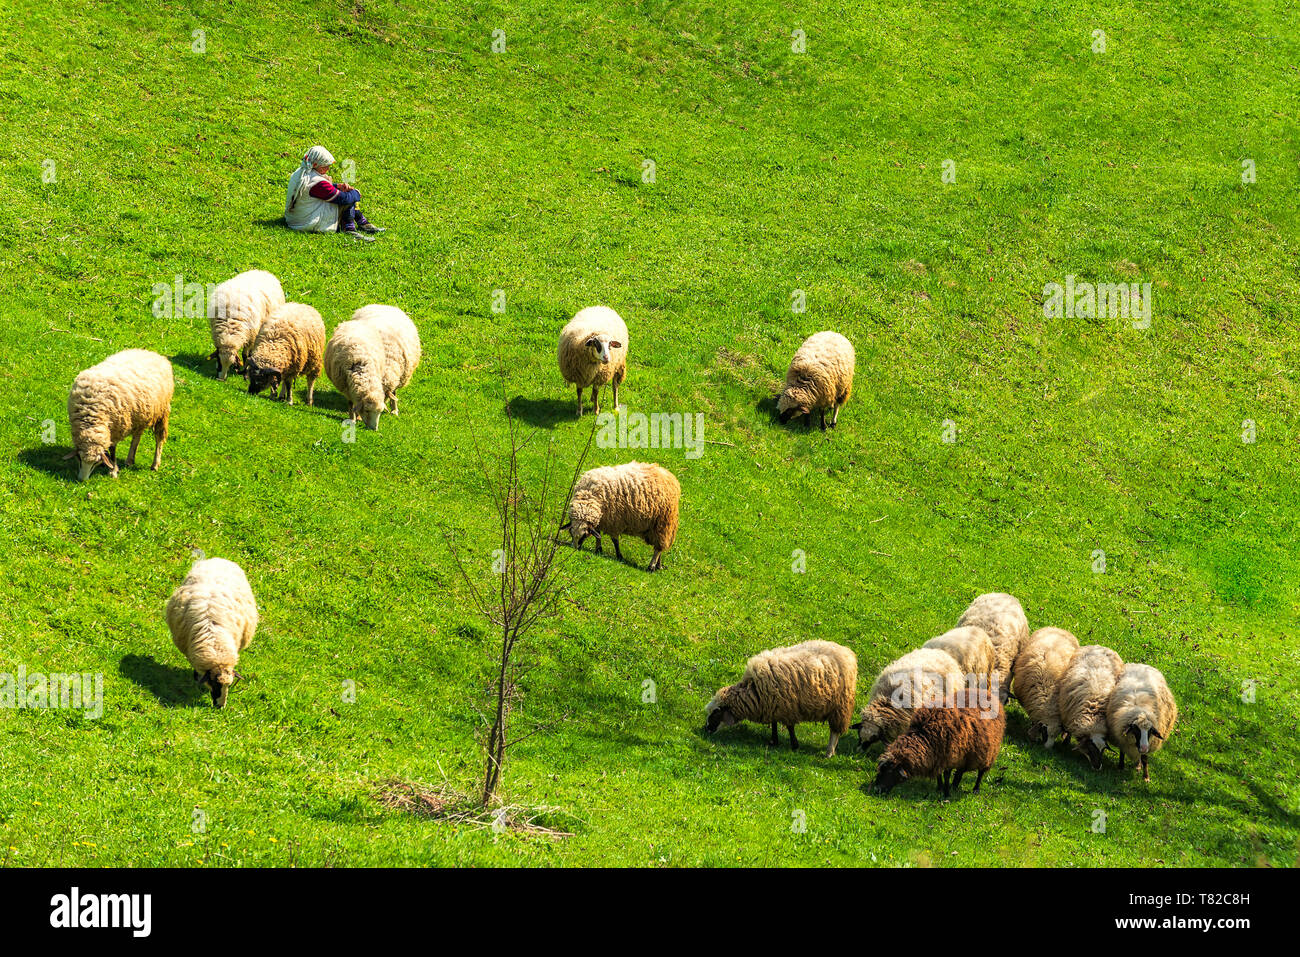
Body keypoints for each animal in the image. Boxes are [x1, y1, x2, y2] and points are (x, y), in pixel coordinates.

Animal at [64, 349, 173, 481]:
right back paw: (130, 460)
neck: (91, 416)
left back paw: (155, 464)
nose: (82, 480)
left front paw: (113, 470)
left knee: (159, 438)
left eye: (95, 463)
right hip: (141, 415)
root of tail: (154, 354)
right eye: (79, 459)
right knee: (137, 437)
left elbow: (113, 450)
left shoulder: (117, 428)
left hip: (162, 412)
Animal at [705, 640, 858, 756]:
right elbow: (774, 723)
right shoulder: (774, 705)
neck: (754, 691)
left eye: (716, 712)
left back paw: (829, 752)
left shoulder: (788, 707)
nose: (706, 730)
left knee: (835, 732)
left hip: (841, 706)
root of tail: (847, 651)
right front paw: (774, 740)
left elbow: (790, 727)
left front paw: (794, 745)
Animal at [872, 703, 1005, 798]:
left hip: (988, 752)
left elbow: (946, 774)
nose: (876, 790)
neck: (925, 734)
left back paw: (975, 789)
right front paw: (940, 788)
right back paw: (955, 785)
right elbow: (939, 774)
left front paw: (946, 794)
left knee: (981, 773)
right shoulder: (938, 756)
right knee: (960, 771)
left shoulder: (949, 755)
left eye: (890, 771)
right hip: (966, 755)